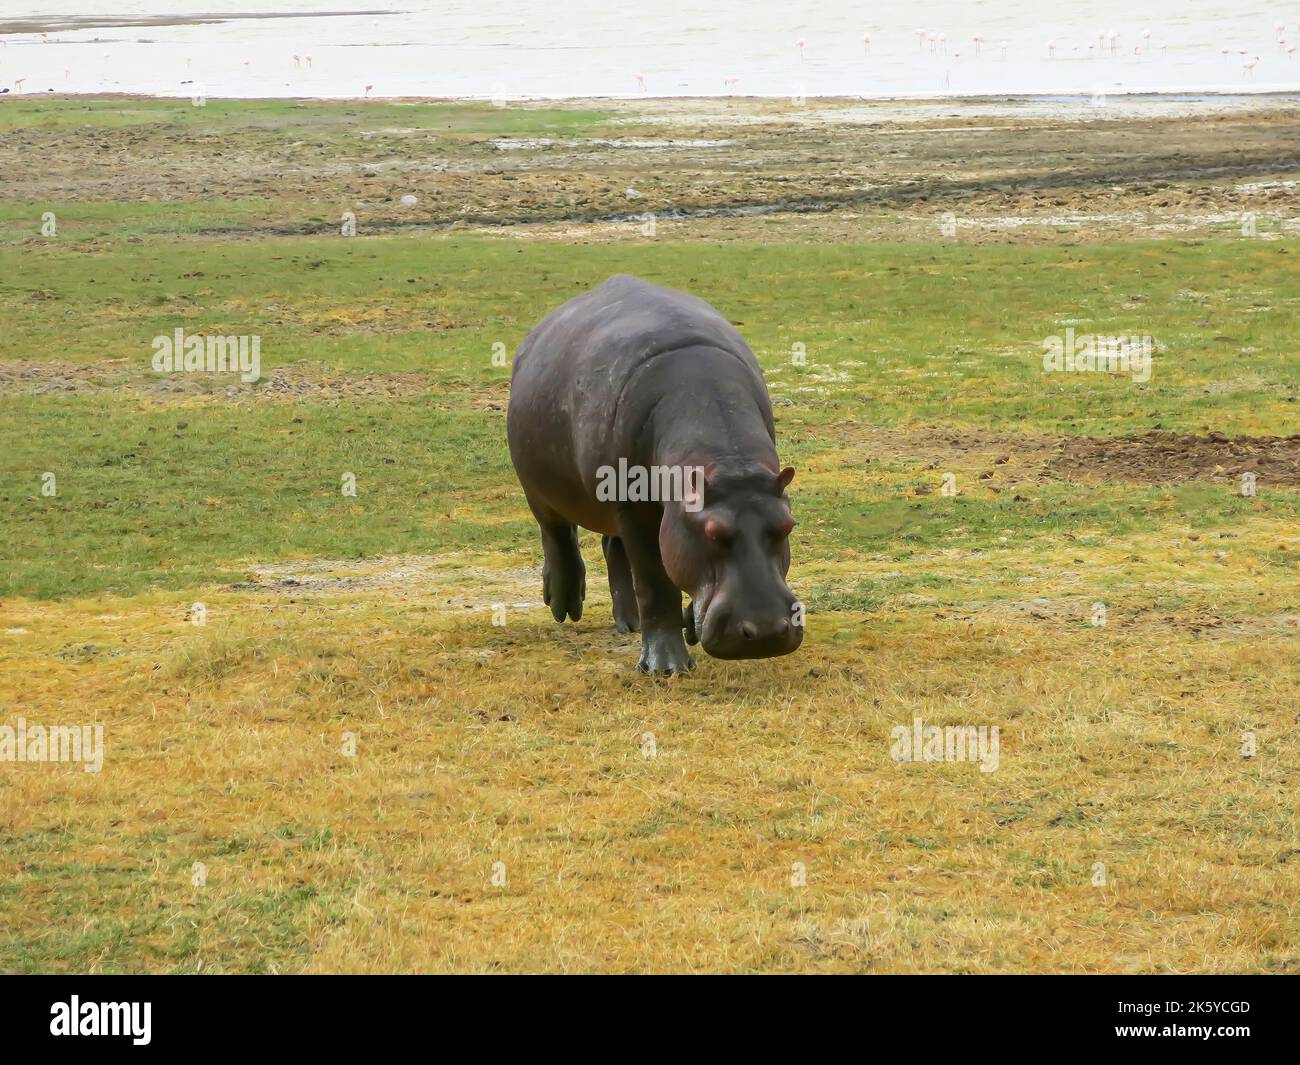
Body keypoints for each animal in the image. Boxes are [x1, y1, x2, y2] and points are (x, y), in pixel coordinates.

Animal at [506, 274, 802, 674]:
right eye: (712, 532)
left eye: (787, 525)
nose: (766, 631)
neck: (729, 463)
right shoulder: (637, 511)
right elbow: (654, 581)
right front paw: (666, 667)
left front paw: (688, 625)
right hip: (540, 487)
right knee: (556, 532)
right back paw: (564, 605)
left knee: (612, 548)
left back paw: (628, 624)